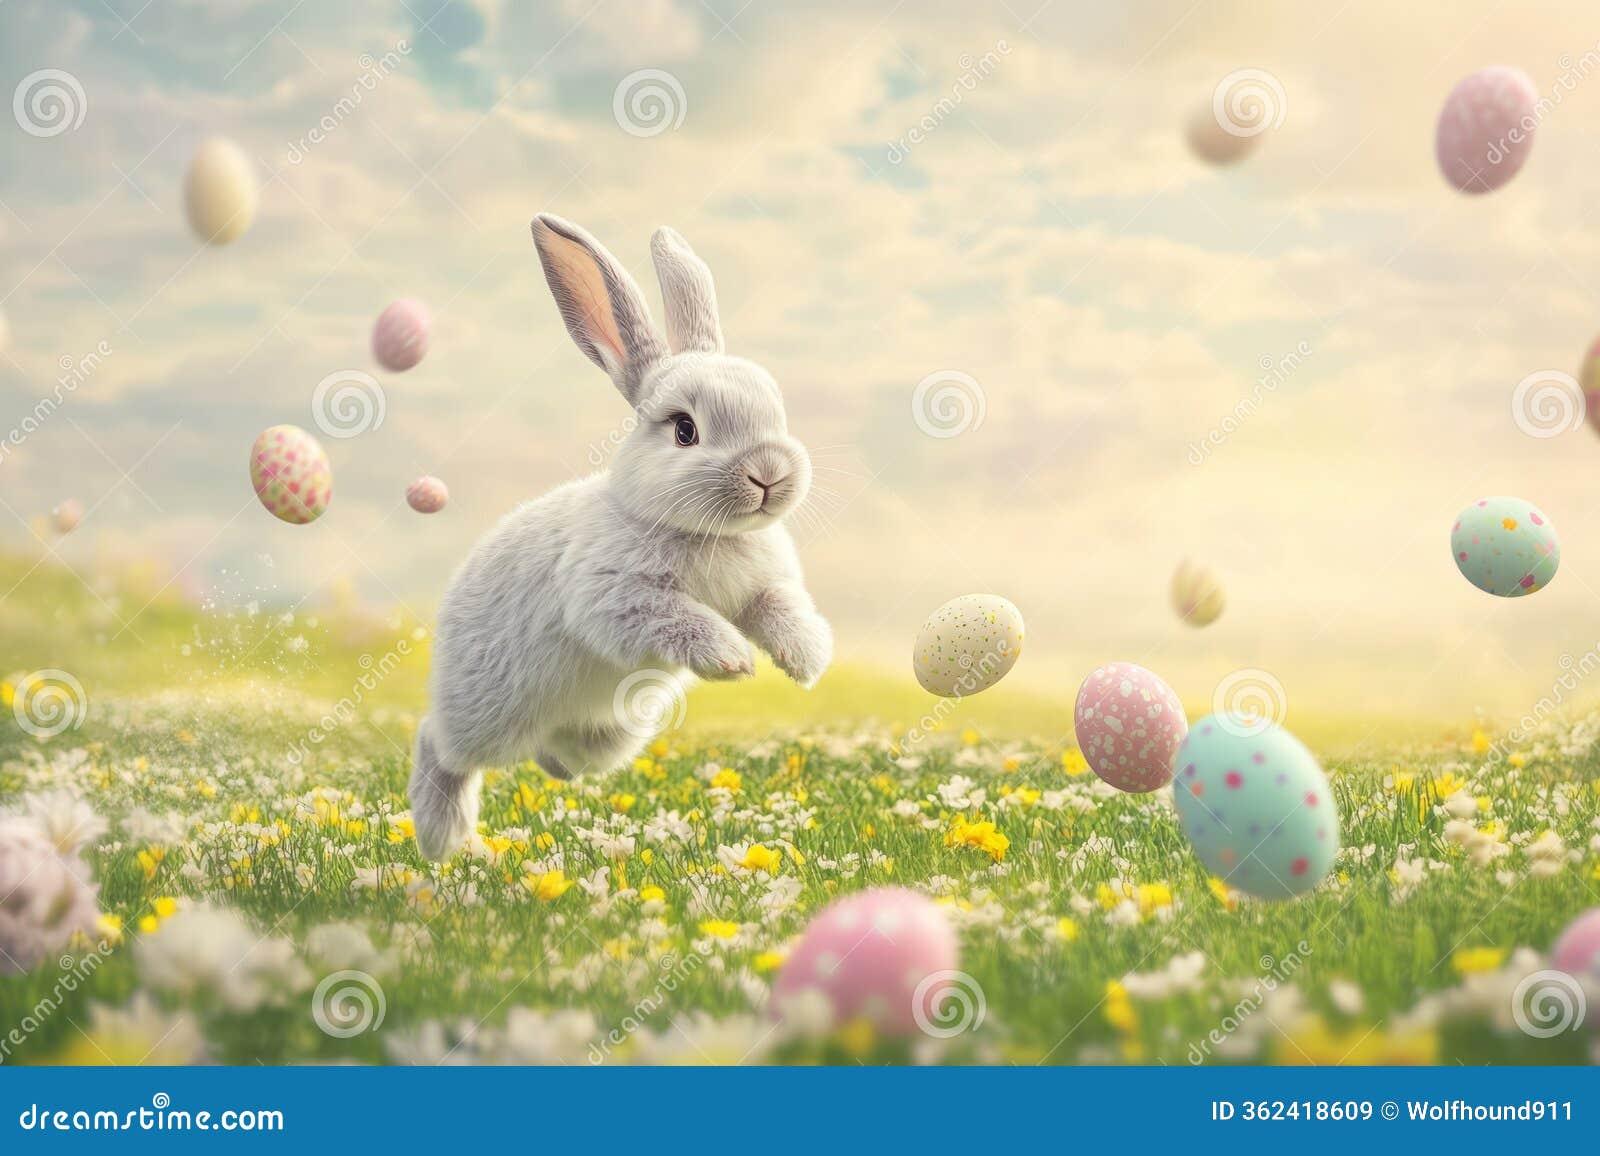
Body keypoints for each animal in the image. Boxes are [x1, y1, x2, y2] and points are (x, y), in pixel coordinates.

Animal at [408, 213, 833, 860]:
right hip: (486, 713)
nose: (770, 472)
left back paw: (552, 768)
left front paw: (806, 662)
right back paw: (440, 836)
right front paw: (732, 659)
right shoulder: (615, 597)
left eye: (776, 412)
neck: (706, 531)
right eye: (684, 430)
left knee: (561, 756)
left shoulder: (764, 589)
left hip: (613, 733)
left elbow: (781, 611)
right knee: (440, 742)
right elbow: (678, 617)